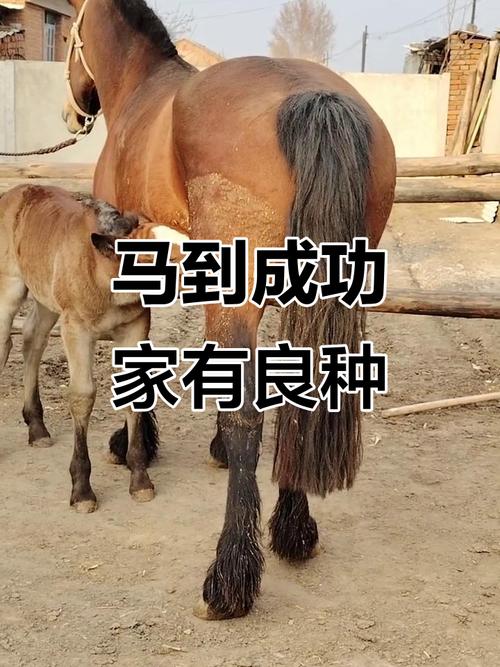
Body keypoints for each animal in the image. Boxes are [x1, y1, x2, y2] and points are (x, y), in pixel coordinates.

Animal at [0, 184, 187, 512]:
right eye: (153, 256)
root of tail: (16, 192)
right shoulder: (77, 329)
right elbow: (82, 396)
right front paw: (82, 490)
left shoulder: (135, 327)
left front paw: (140, 481)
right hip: (10, 287)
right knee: (5, 341)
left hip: (47, 297)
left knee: (33, 338)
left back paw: (37, 427)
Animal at [62, 0, 396, 619]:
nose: (73, 115)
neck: (141, 89)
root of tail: (313, 97)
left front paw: (136, 444)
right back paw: (294, 529)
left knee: (251, 419)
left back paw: (230, 577)